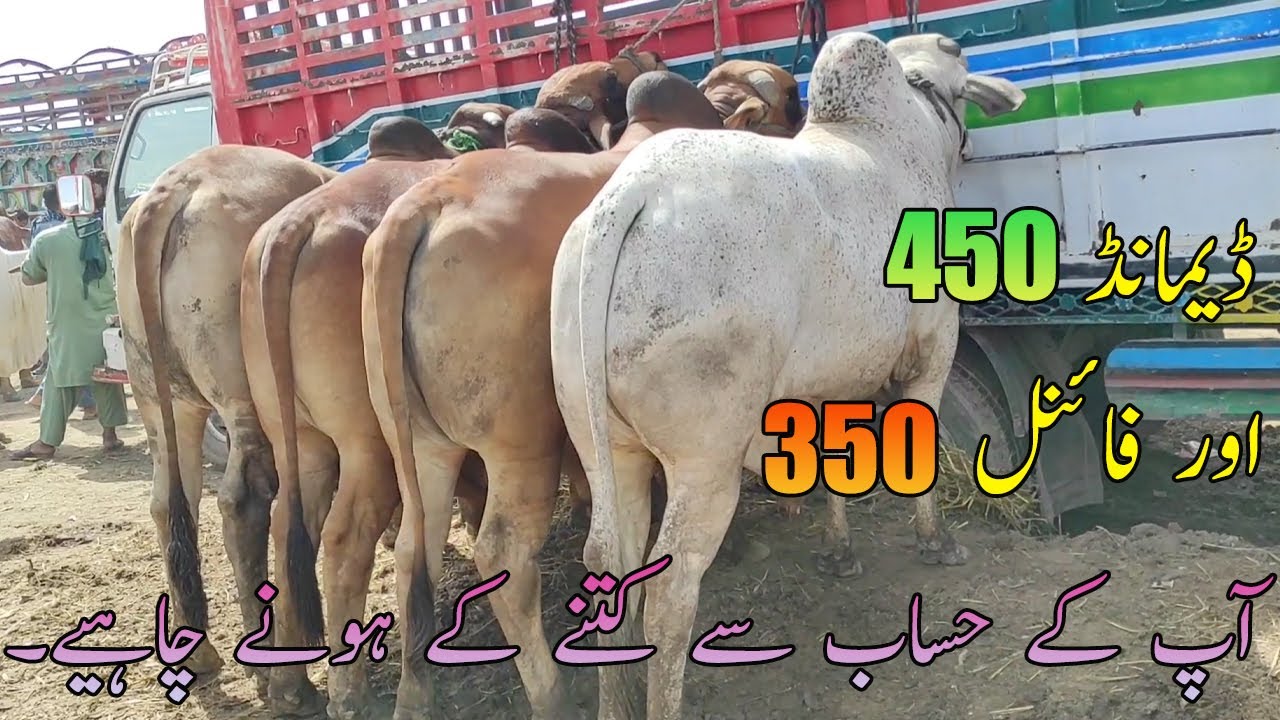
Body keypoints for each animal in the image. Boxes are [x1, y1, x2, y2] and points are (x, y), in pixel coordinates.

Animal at [120, 145, 337, 691]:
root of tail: (175, 186)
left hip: (158, 395)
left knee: (169, 499)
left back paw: (199, 651)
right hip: (243, 394)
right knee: (244, 499)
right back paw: (269, 668)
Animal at [360, 70, 764, 720]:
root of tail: (425, 204)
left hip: (420, 444)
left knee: (411, 551)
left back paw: (414, 695)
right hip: (521, 444)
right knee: (502, 553)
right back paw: (551, 691)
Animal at [548, 32, 1027, 719]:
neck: (895, 130)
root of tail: (628, 197)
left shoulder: (825, 387)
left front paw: (838, 552)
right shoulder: (934, 349)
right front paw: (935, 542)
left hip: (604, 445)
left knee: (607, 564)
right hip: (705, 462)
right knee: (670, 590)